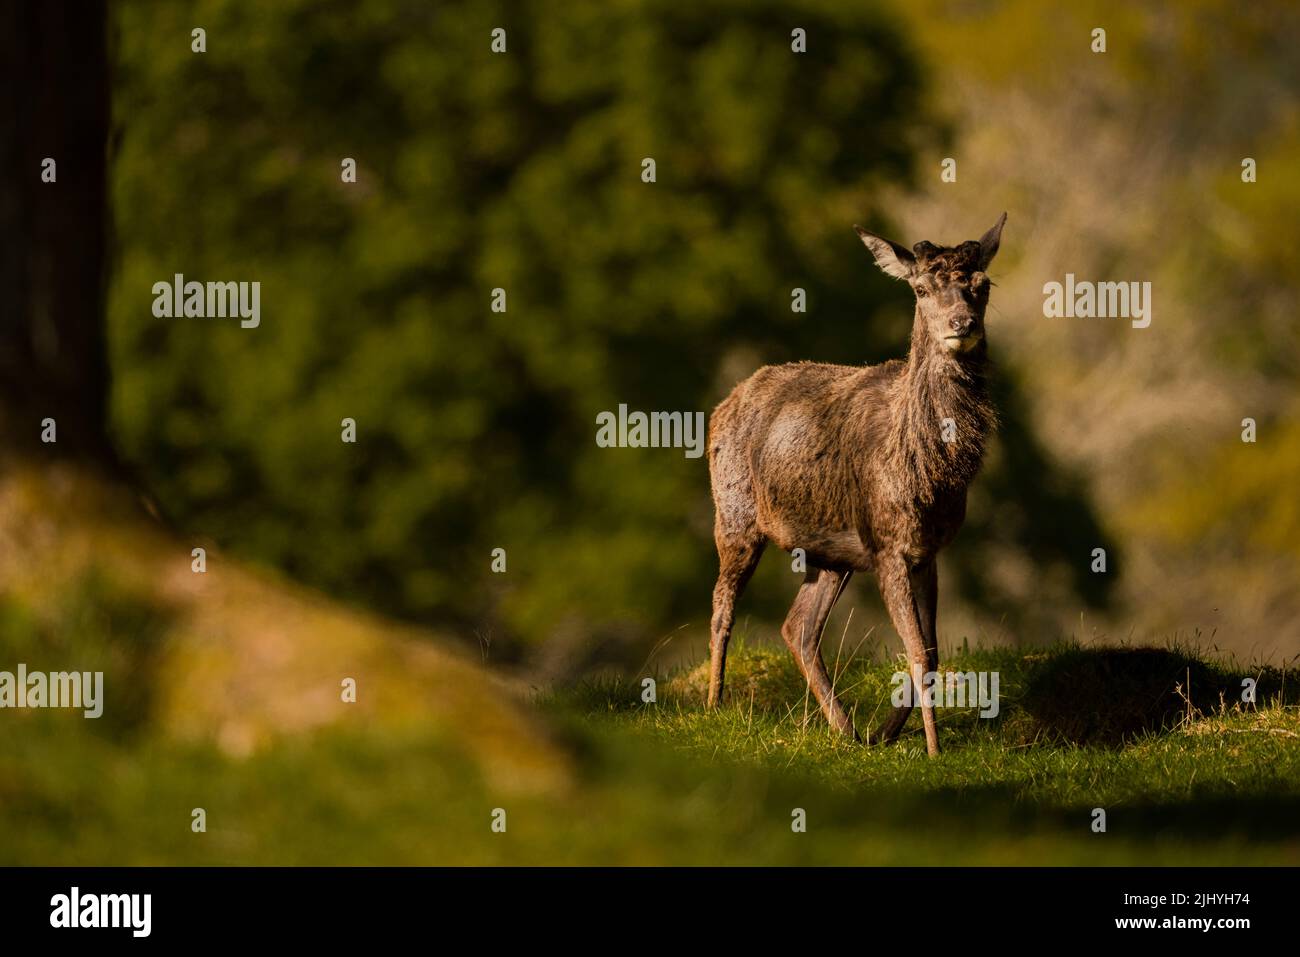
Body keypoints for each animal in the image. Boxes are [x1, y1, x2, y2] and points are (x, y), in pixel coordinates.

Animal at [705, 214, 1006, 756]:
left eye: (983, 284)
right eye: (921, 289)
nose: (962, 325)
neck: (926, 473)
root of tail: (723, 404)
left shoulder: (926, 550)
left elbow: (931, 650)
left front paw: (889, 733)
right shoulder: (887, 543)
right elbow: (917, 651)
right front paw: (933, 750)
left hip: (830, 554)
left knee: (798, 628)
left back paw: (845, 728)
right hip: (734, 513)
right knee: (723, 608)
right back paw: (714, 705)